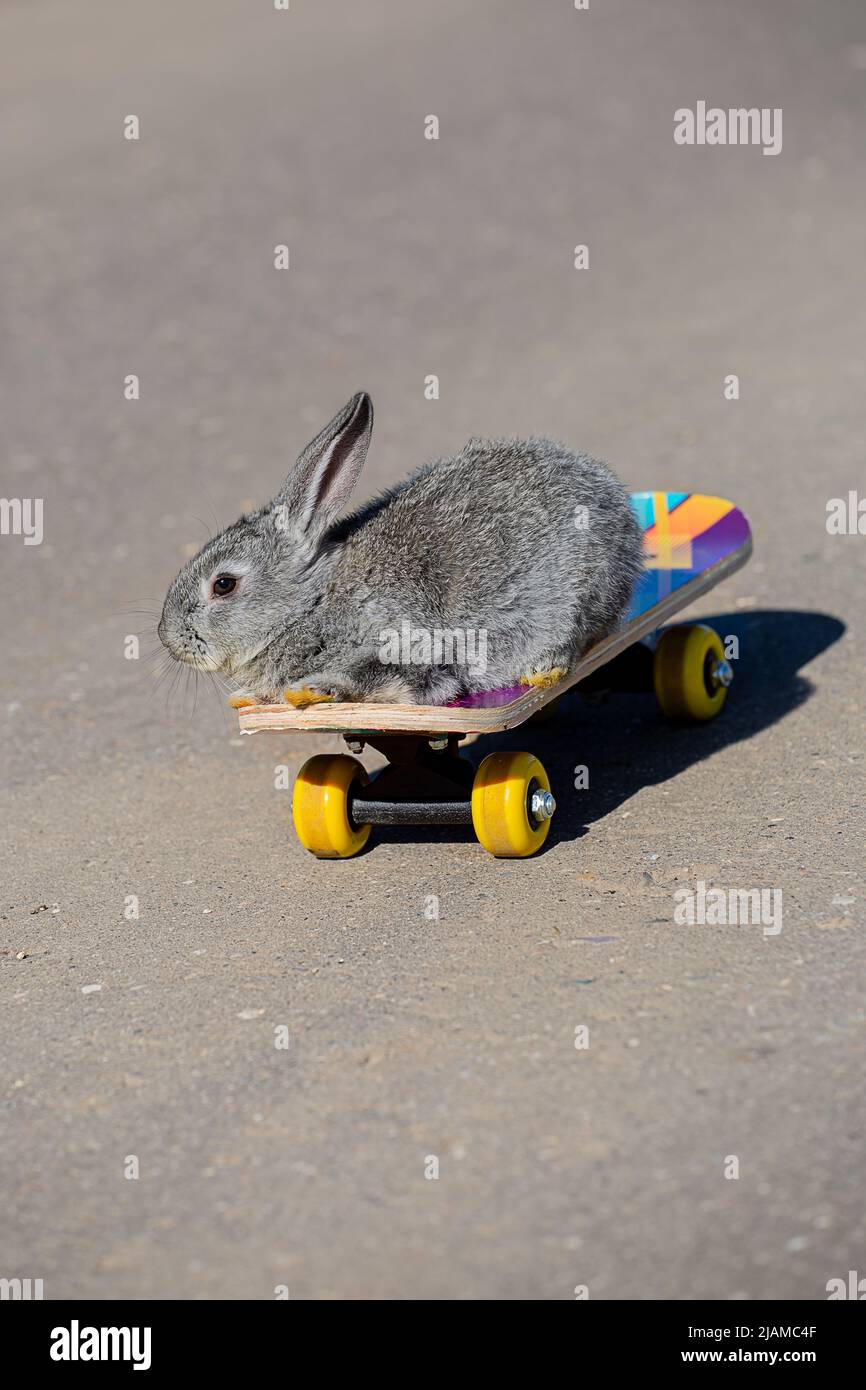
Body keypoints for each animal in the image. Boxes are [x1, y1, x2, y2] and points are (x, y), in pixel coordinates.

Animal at [158, 391, 644, 707]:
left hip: (581, 591)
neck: (312, 604)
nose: (168, 640)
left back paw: (545, 668)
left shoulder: (407, 641)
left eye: (223, 585)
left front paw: (313, 689)